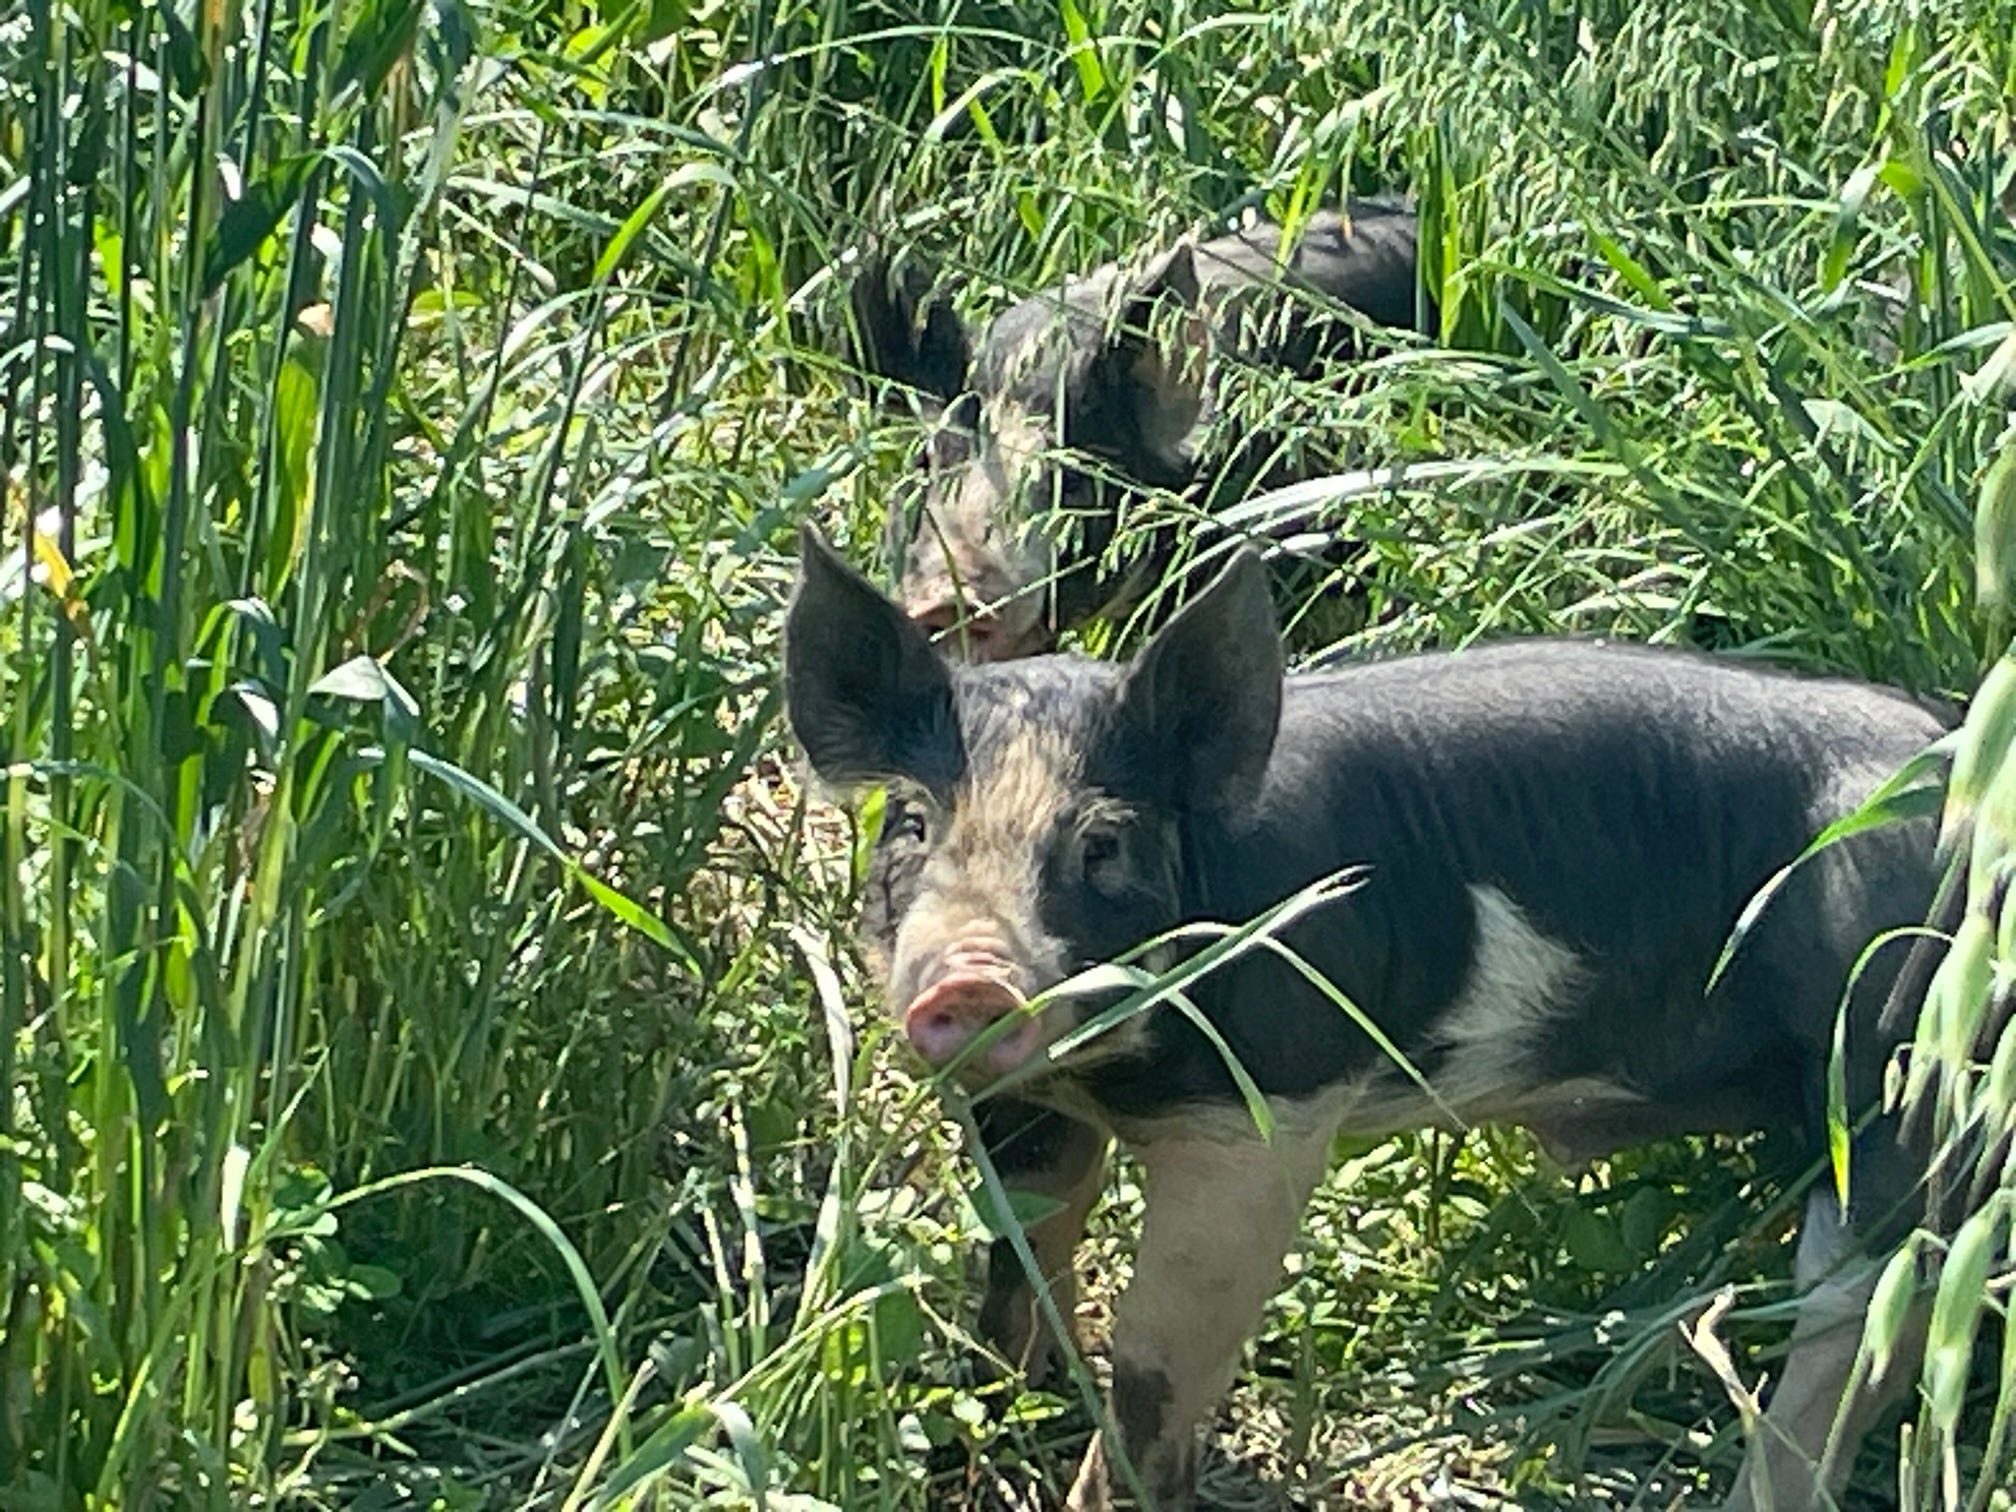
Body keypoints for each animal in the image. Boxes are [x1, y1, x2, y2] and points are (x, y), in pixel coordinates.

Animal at [783, 523, 1959, 1510]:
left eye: (1103, 844)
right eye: (914, 823)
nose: (972, 979)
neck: (1115, 1078)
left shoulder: (1267, 1114)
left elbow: (1158, 1365)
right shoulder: (1028, 1100)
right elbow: (1018, 1259)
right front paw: (1001, 1413)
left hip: (1897, 1075)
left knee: (1862, 1322)